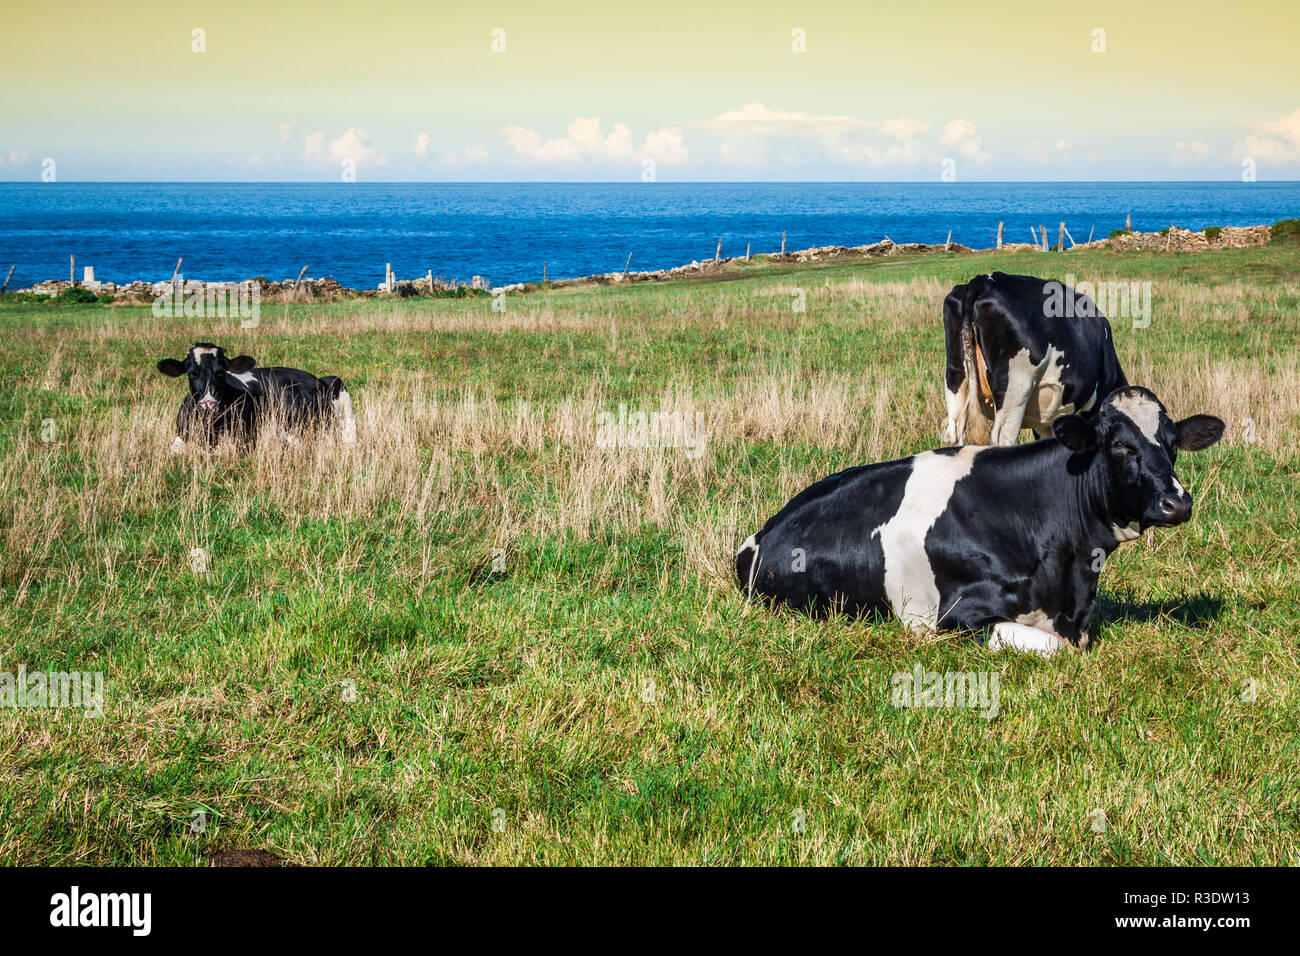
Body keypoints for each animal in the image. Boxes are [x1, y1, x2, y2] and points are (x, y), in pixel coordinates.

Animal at [737, 387, 1223, 656]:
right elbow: (1056, 648)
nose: (1177, 503)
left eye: (1172, 442)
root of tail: (762, 532)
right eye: (1119, 444)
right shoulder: (952, 616)